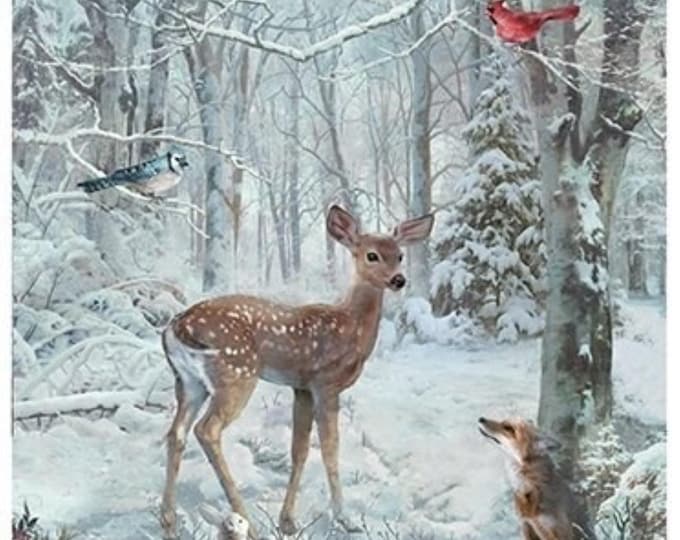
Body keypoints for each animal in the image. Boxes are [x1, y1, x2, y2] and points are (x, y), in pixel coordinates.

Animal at [159, 205, 434, 539]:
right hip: (236, 373)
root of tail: (177, 326)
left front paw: (287, 521)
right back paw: (246, 522)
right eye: (372, 255)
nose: (399, 280)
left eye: (400, 255)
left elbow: (299, 449)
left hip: (188, 382)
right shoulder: (326, 383)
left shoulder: (301, 387)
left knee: (176, 433)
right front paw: (345, 519)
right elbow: (330, 449)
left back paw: (169, 521)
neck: (350, 327)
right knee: (207, 430)